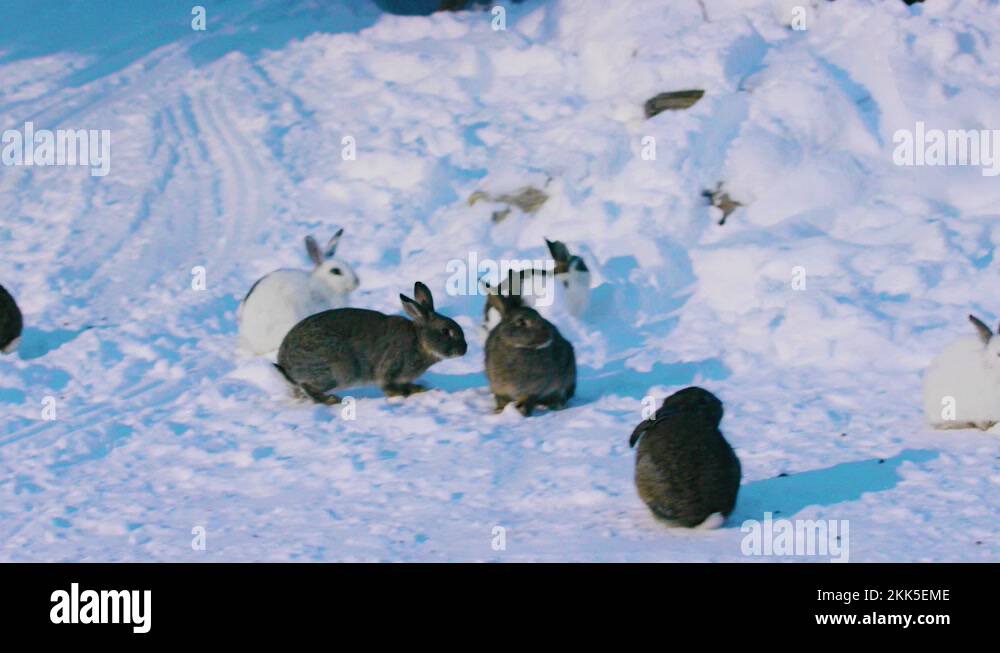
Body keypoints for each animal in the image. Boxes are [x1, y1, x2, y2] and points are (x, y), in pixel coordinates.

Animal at [275, 281, 466, 404]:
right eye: (446, 331)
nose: (464, 349)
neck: (420, 341)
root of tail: (285, 364)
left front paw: (420, 389)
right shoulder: (389, 368)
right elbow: (388, 385)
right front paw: (404, 393)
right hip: (337, 370)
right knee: (308, 387)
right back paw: (330, 400)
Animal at [484, 280, 576, 416]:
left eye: (539, 315)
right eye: (521, 322)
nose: (548, 334)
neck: (518, 347)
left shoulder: (533, 390)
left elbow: (528, 399)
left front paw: (522, 411)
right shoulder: (499, 388)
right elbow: (501, 399)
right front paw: (499, 411)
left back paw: (558, 405)